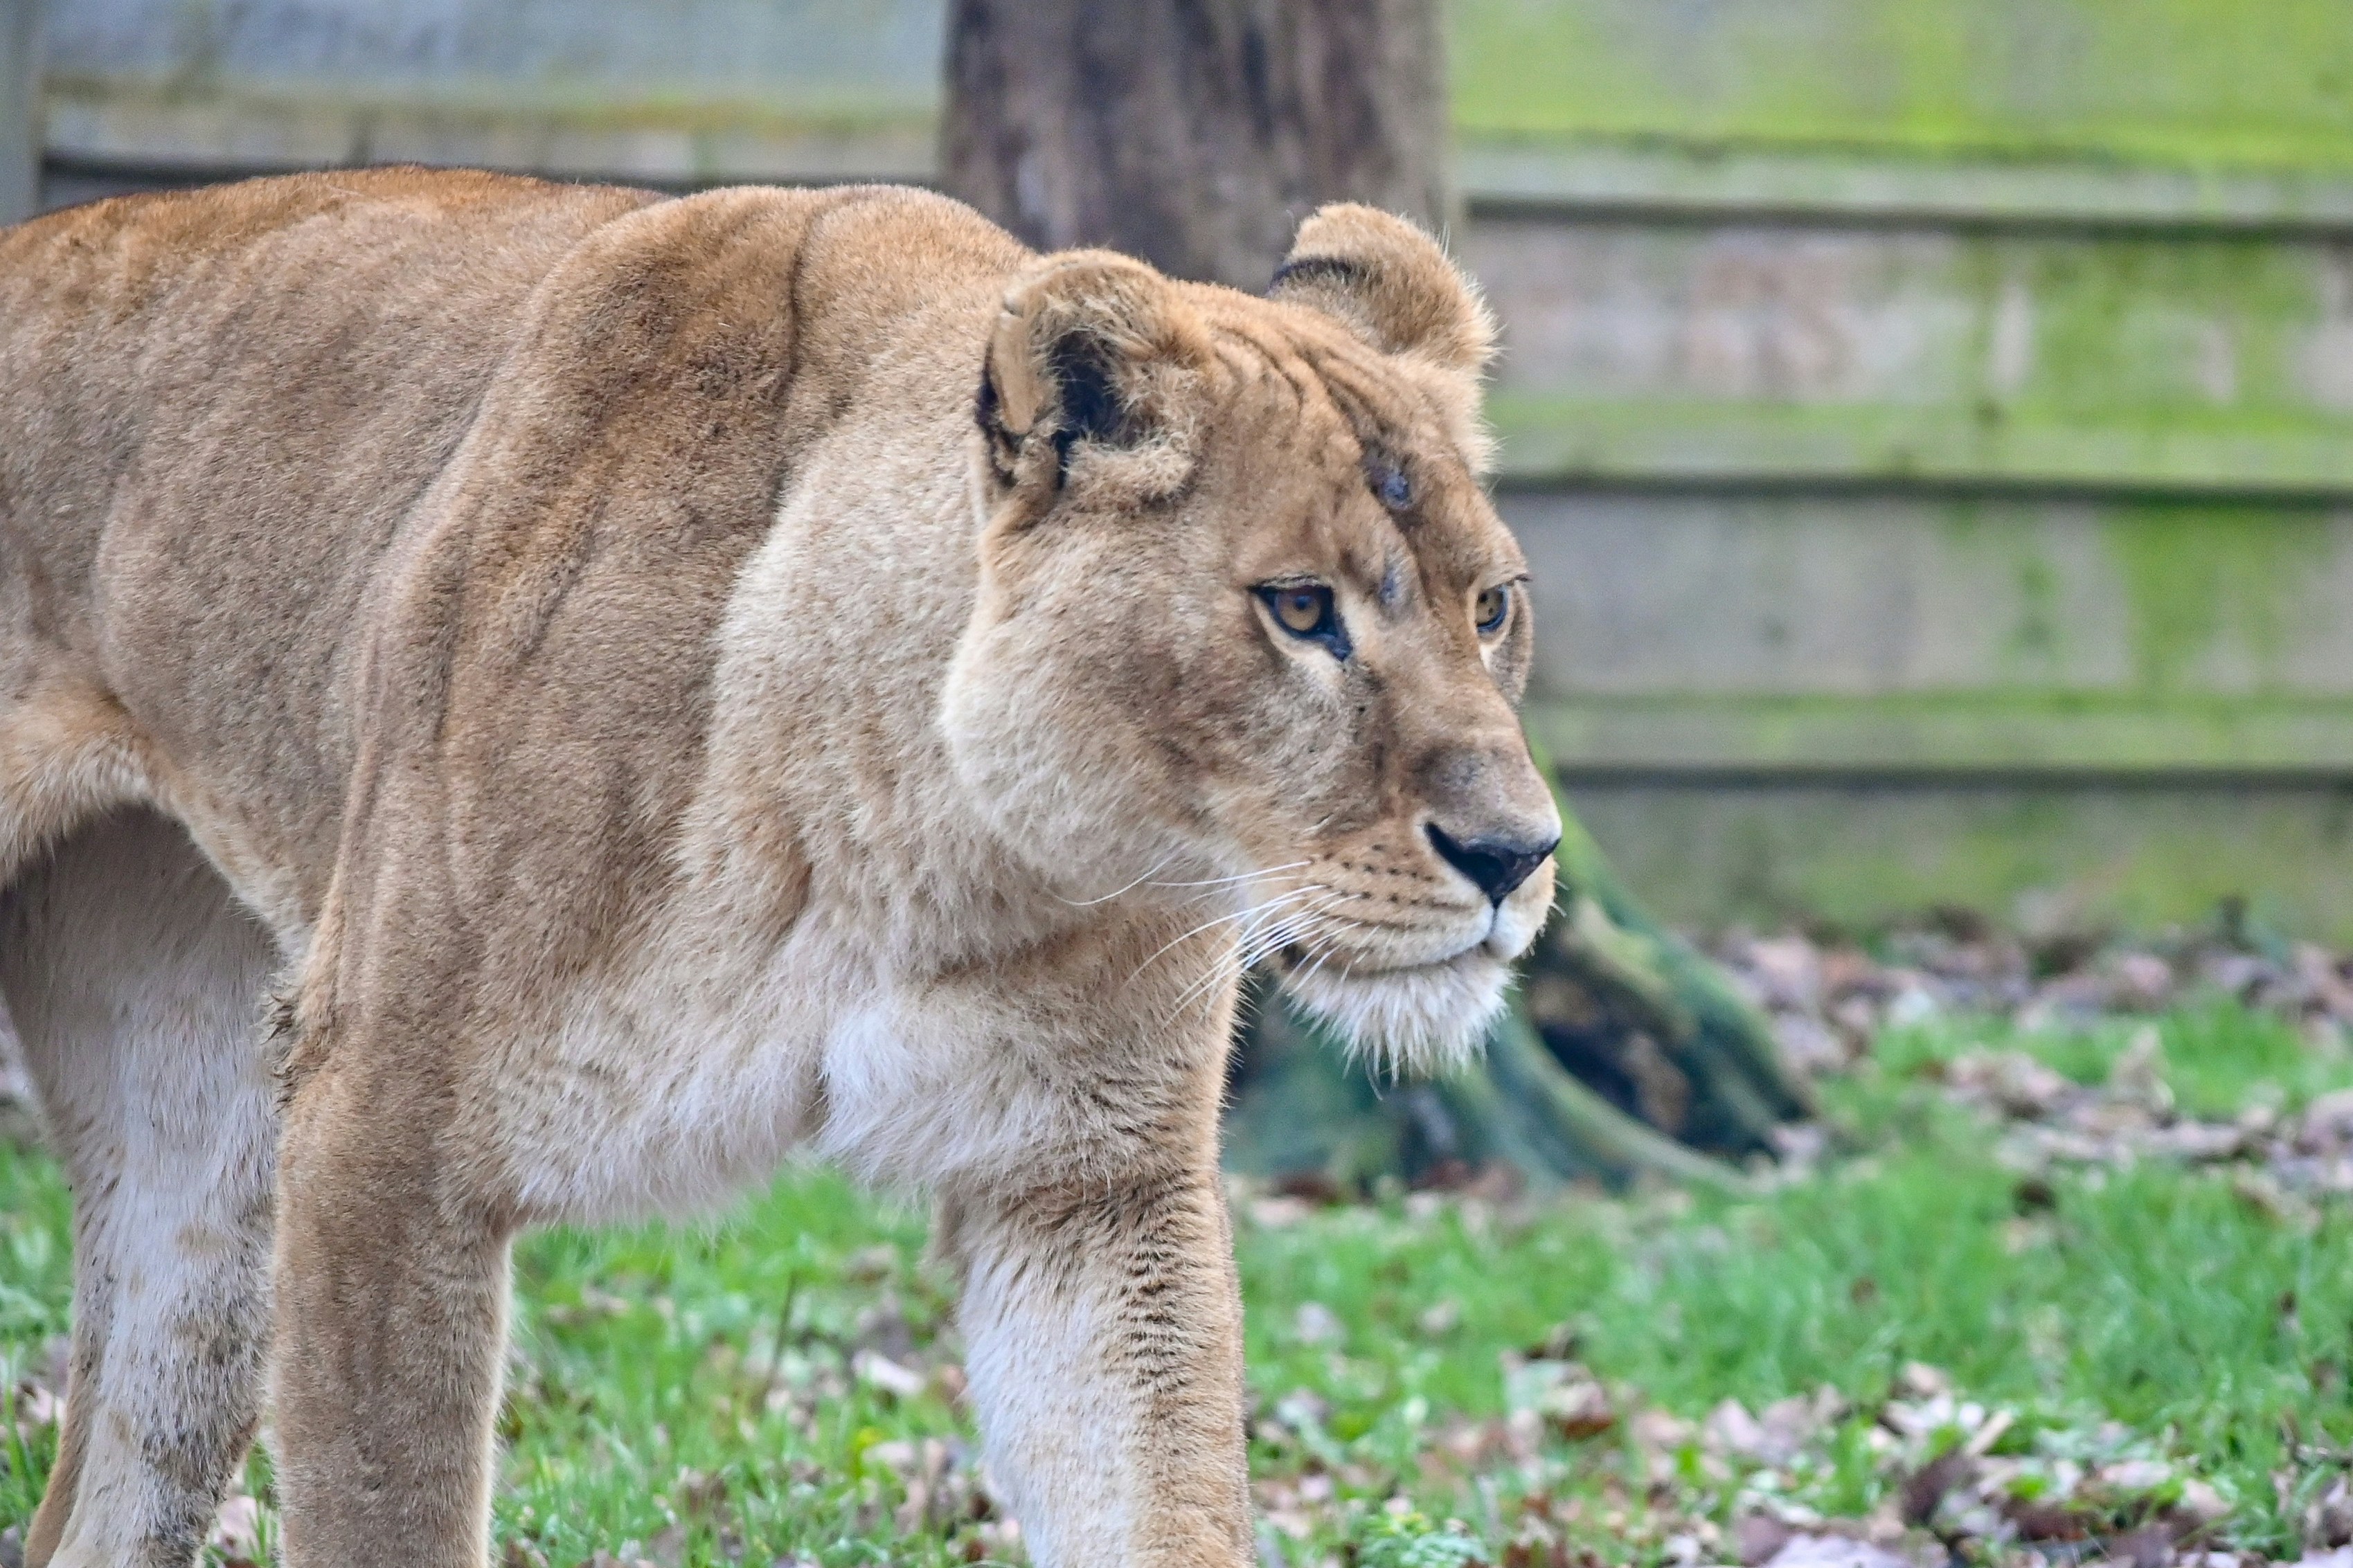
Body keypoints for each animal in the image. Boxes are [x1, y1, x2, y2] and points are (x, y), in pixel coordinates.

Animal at [0, 168, 1560, 1568]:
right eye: (1298, 610)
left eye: (1491, 608)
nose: (1518, 854)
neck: (916, 850)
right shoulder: (380, 1134)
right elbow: (390, 1512)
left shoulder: (1086, 1187)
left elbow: (1159, 1498)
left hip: (202, 1170)